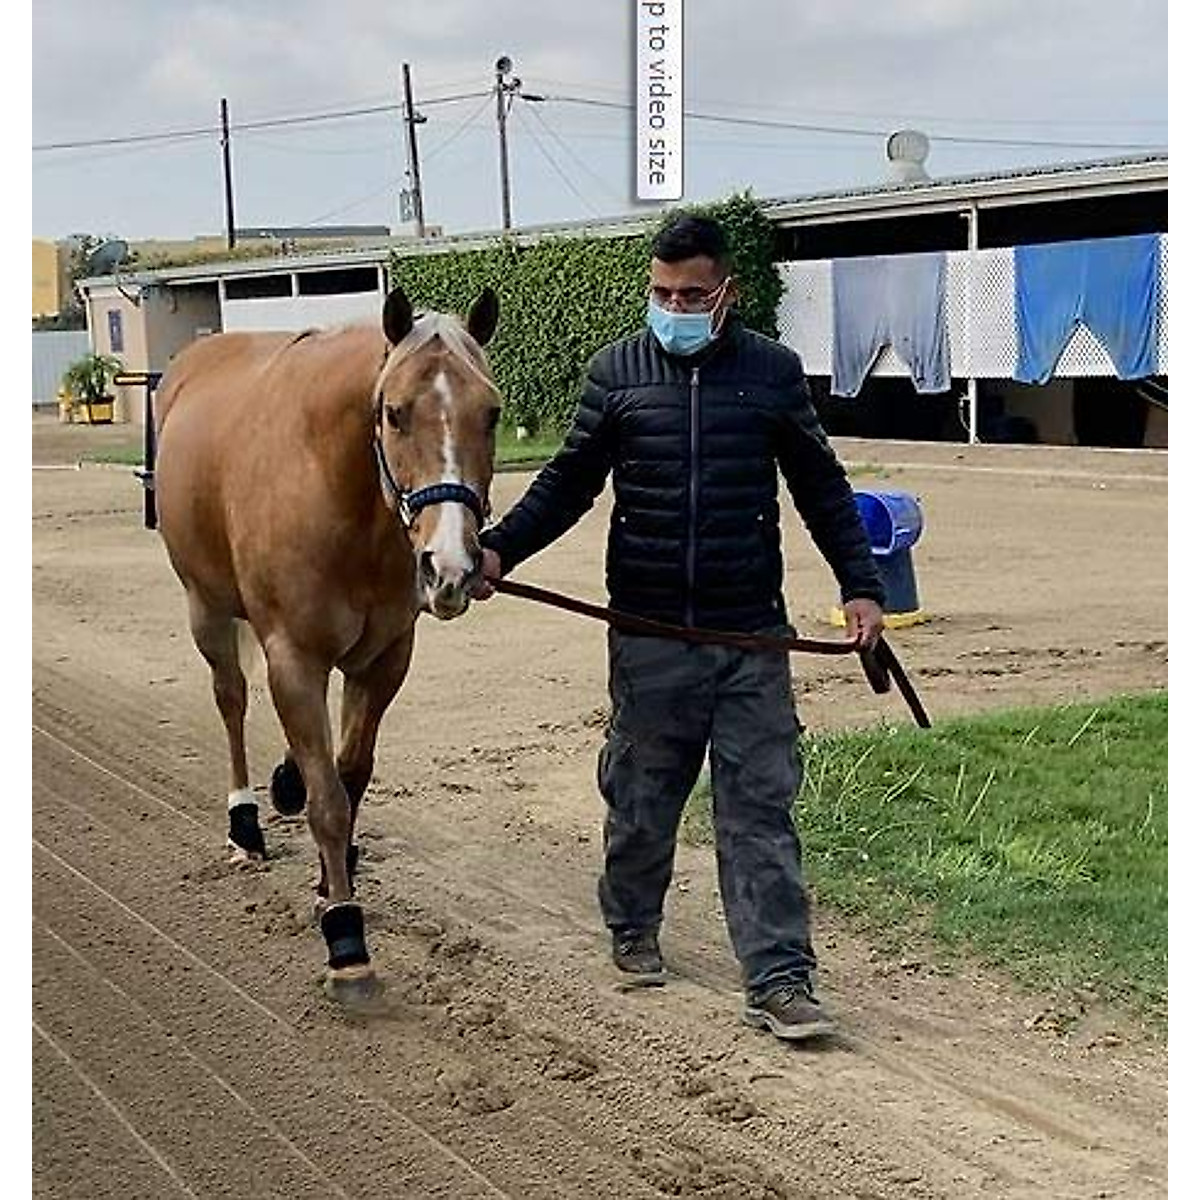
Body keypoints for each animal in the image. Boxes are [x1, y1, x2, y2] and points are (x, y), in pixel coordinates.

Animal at [153, 285, 501, 1001]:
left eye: (492, 413)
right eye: (394, 413)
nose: (451, 568)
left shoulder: (384, 660)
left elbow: (350, 774)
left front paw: (326, 876)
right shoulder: (294, 659)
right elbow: (329, 803)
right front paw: (346, 938)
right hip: (207, 609)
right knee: (231, 701)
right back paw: (244, 825)